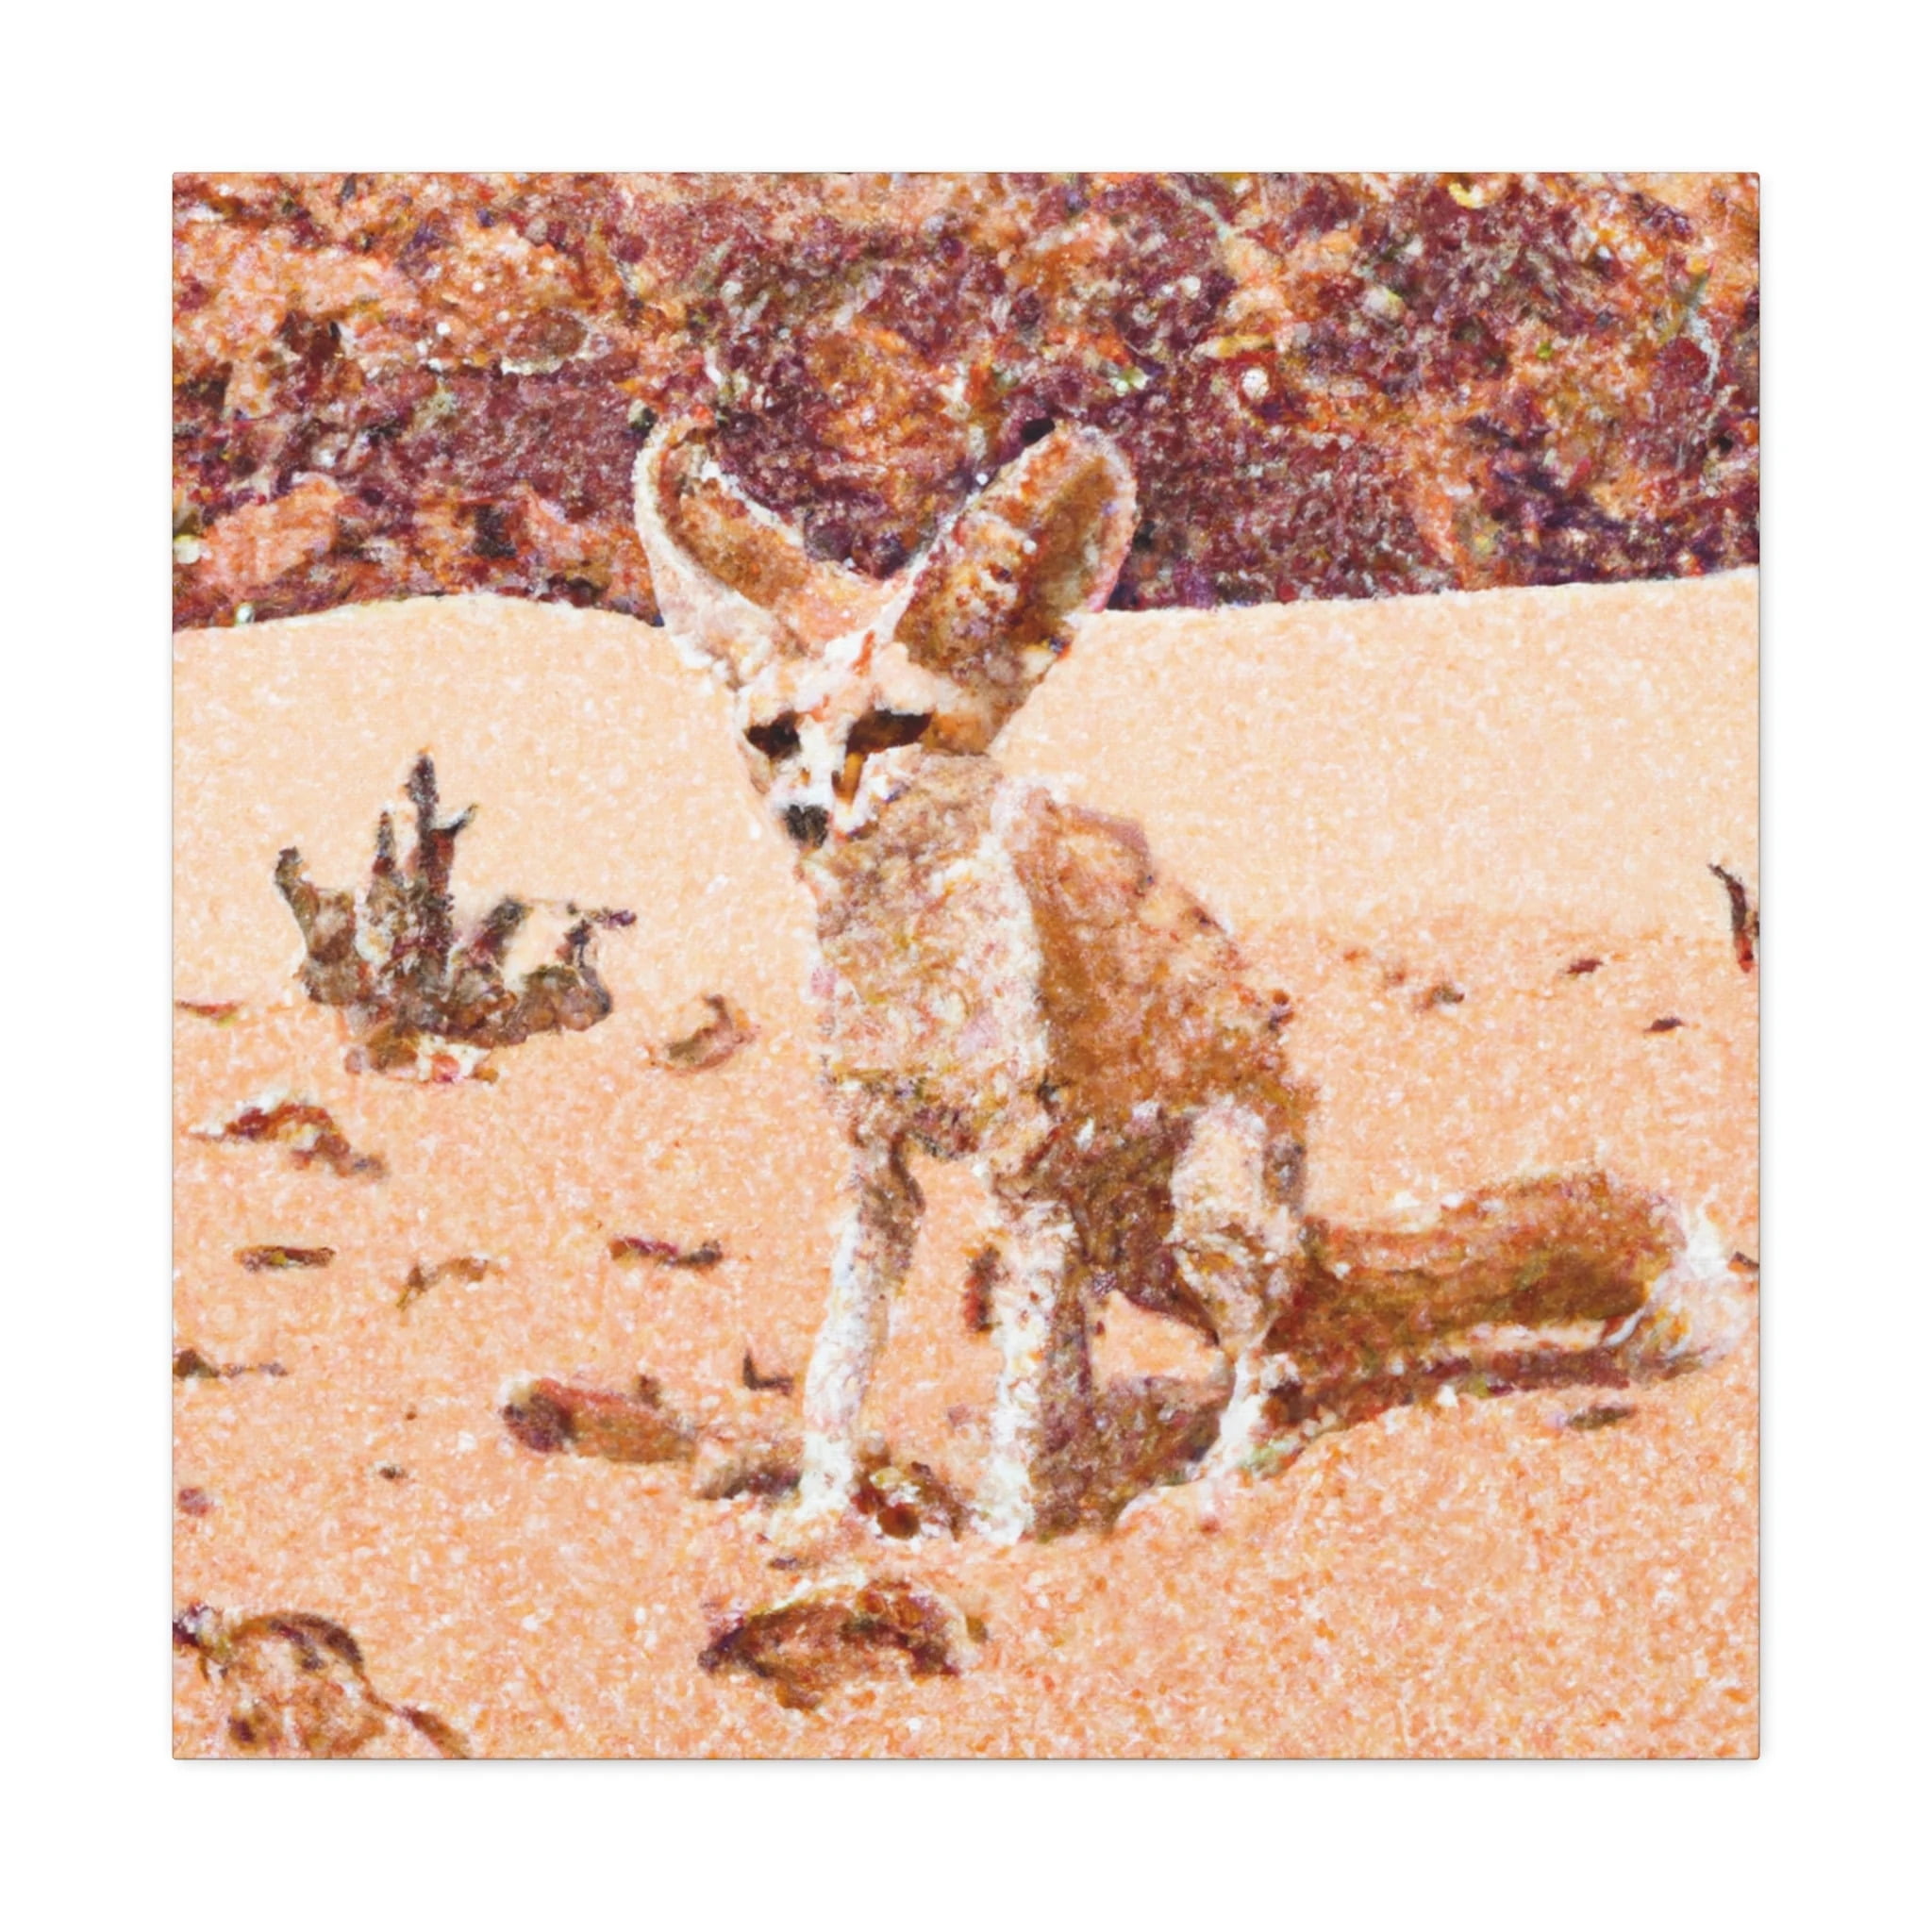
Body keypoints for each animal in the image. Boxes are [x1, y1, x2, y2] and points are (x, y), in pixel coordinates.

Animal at [633, 416, 1752, 1543]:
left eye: (890, 729)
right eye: (774, 737)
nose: (805, 816)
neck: (908, 978)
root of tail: (1301, 1215)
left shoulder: (1025, 1176)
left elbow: (1016, 1393)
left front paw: (1000, 1539)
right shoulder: (877, 1171)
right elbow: (841, 1367)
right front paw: (823, 1514)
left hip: (1198, 1214)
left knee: (1267, 1358)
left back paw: (1210, 1480)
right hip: (1124, 1249)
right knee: (1129, 1358)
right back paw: (1103, 1457)